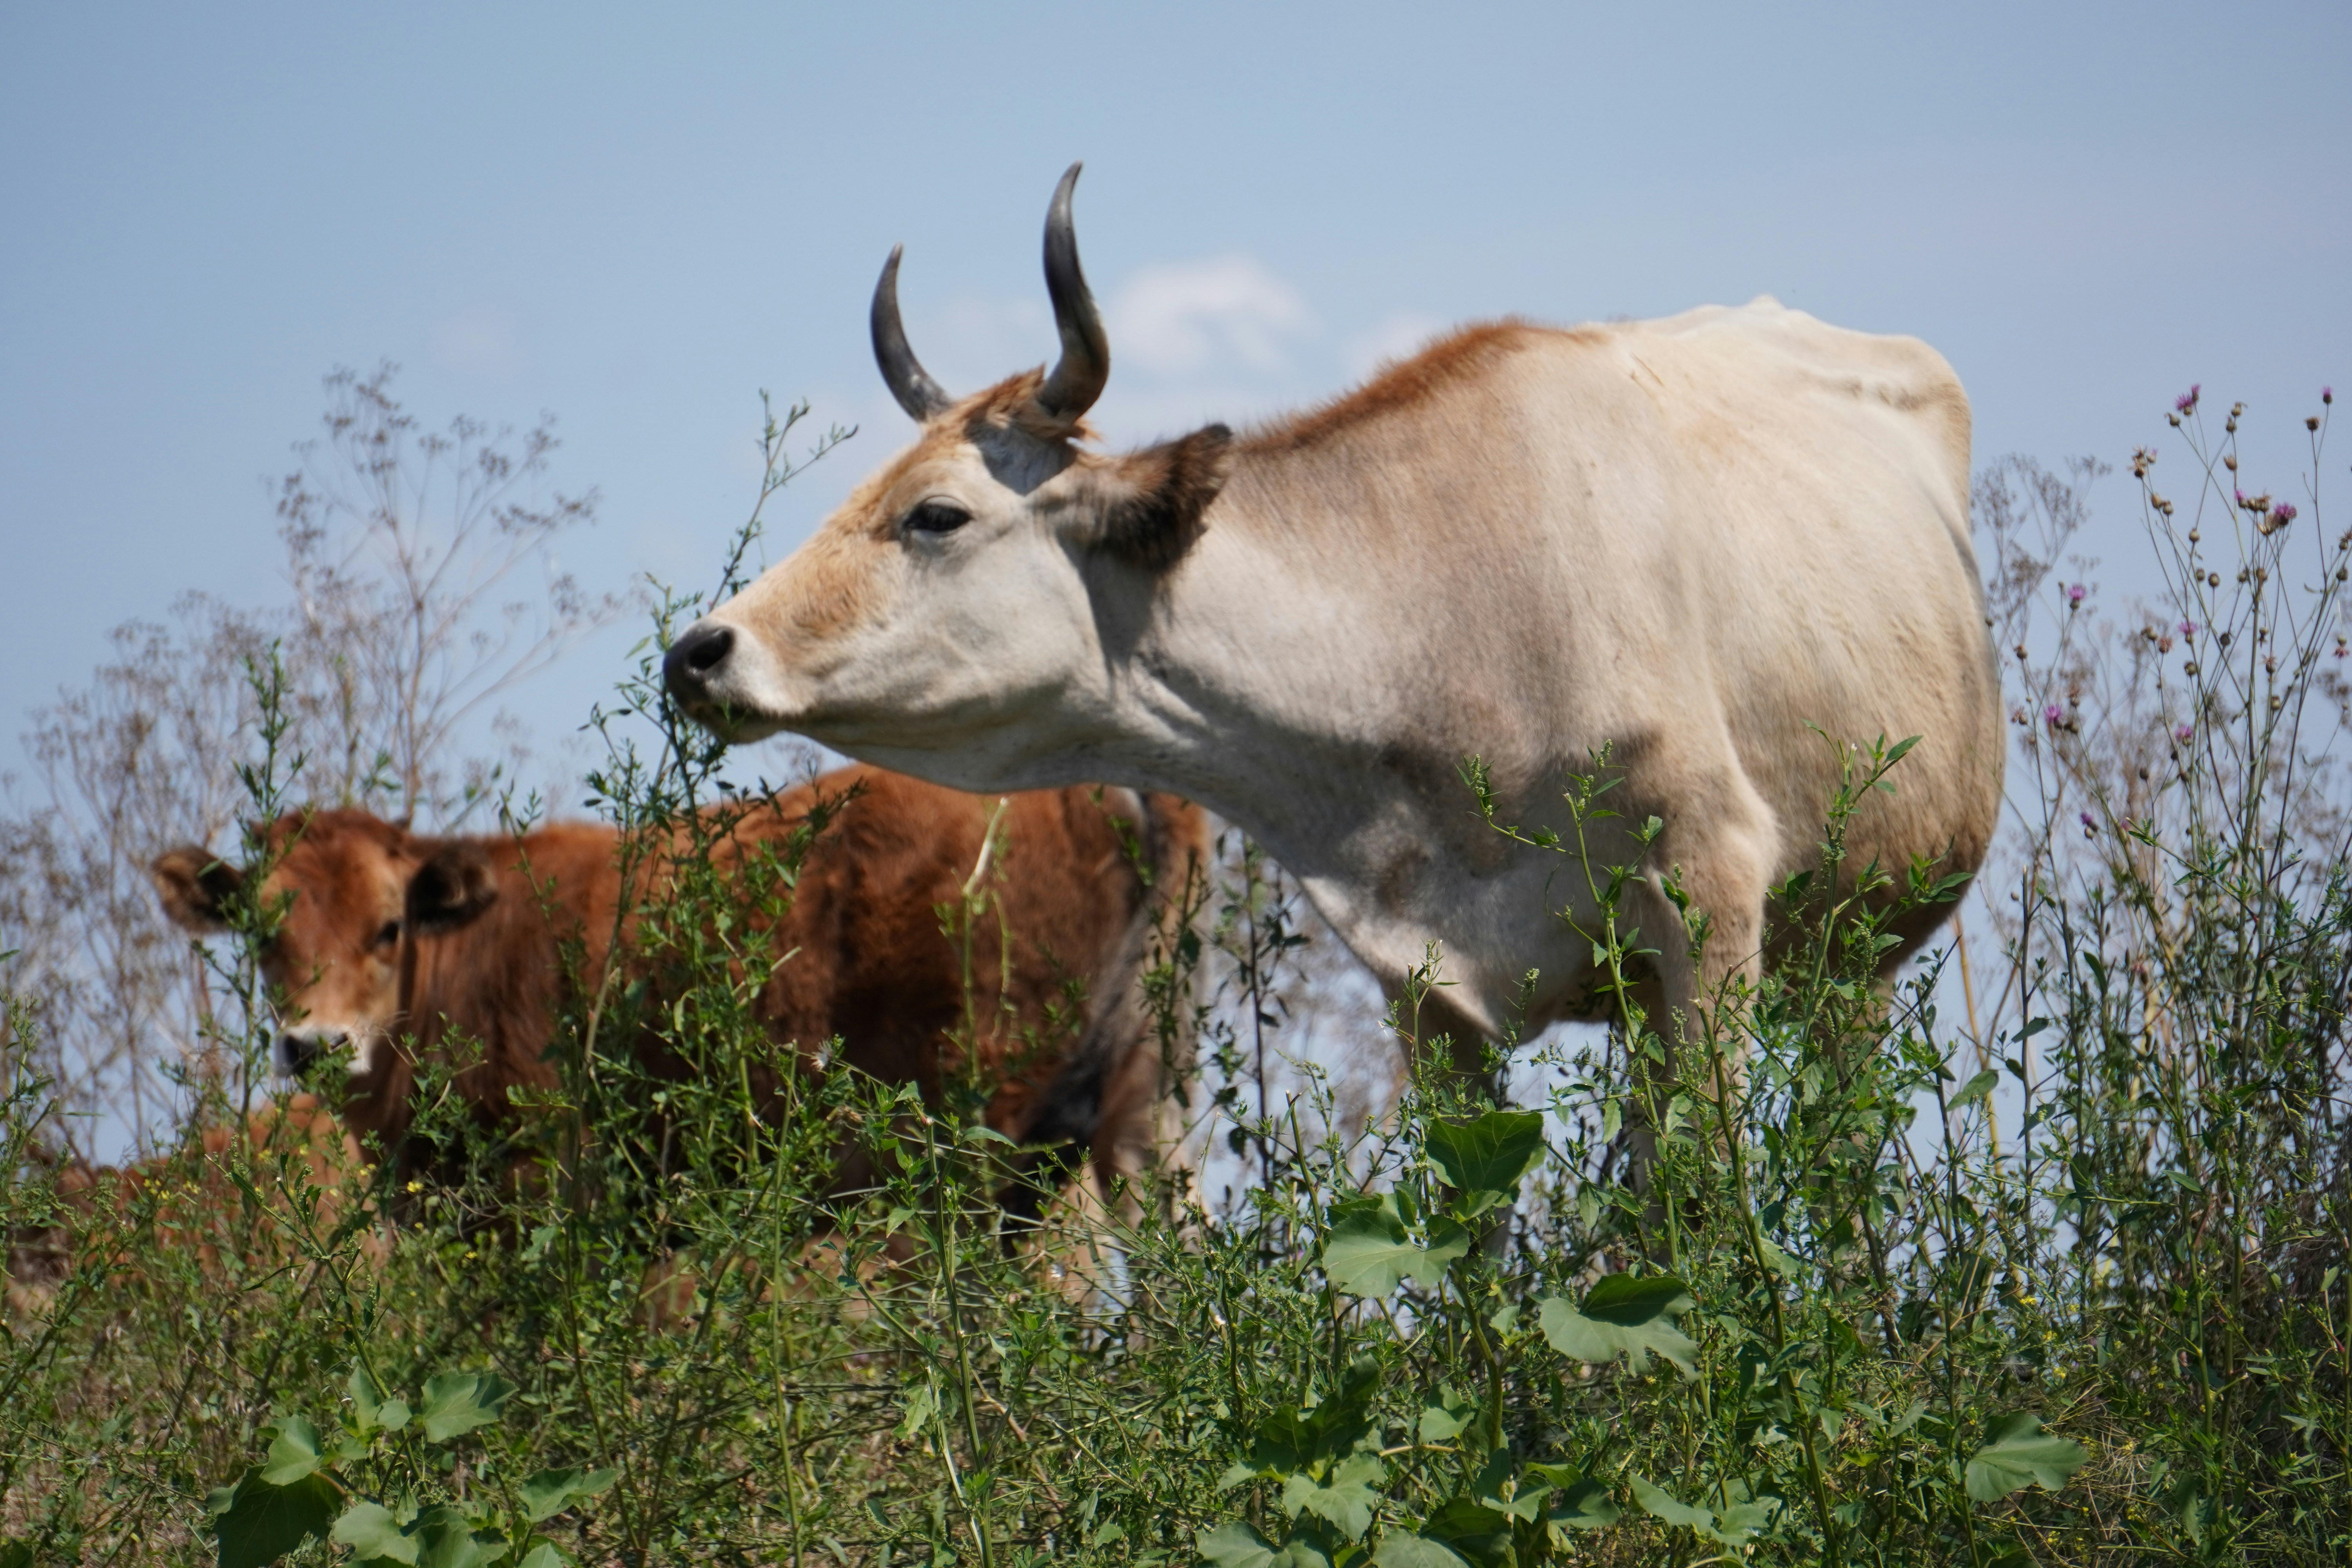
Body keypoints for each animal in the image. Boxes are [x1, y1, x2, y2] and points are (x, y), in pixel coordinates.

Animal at [149, 767, 1207, 1229]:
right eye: (262, 931)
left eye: (387, 926)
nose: (315, 1043)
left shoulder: (536, 1196)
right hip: (1142, 1109)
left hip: (966, 1133)